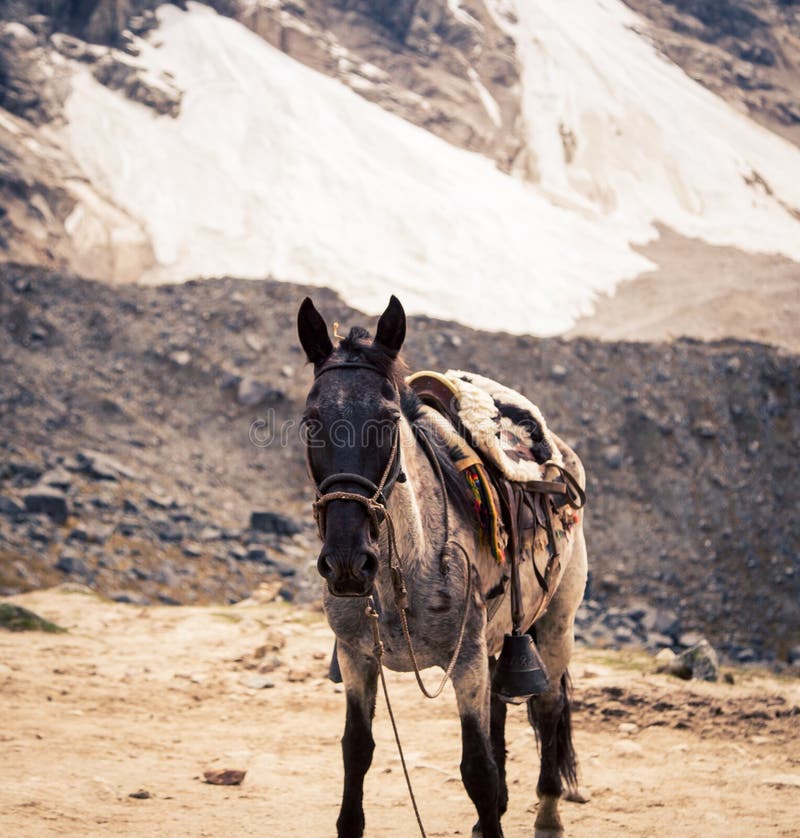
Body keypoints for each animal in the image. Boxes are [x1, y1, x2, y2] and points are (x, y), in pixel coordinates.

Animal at [297, 295, 588, 837]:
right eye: (311, 421)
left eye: (388, 420)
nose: (347, 562)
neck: (403, 577)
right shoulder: (357, 657)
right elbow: (357, 752)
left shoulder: (466, 660)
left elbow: (477, 768)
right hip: (498, 635)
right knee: (502, 705)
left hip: (557, 623)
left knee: (548, 706)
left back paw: (548, 812)